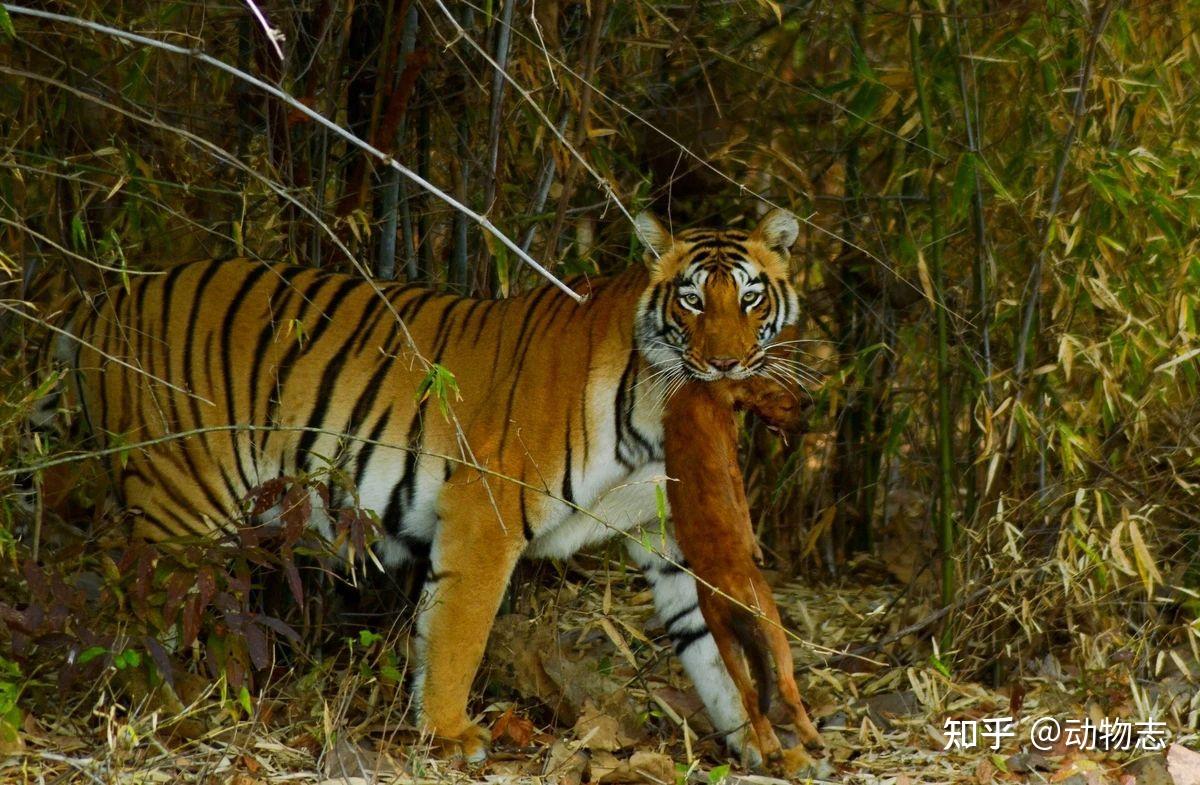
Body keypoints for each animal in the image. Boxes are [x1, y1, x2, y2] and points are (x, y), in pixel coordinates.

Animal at [45, 208, 803, 763]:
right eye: (693, 300)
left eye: (750, 298)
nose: (726, 363)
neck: (652, 406)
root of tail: (102, 301)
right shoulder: (485, 510)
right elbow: (456, 631)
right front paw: (449, 733)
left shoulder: (666, 532)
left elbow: (716, 652)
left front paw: (764, 746)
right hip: (180, 502)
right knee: (148, 620)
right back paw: (177, 715)